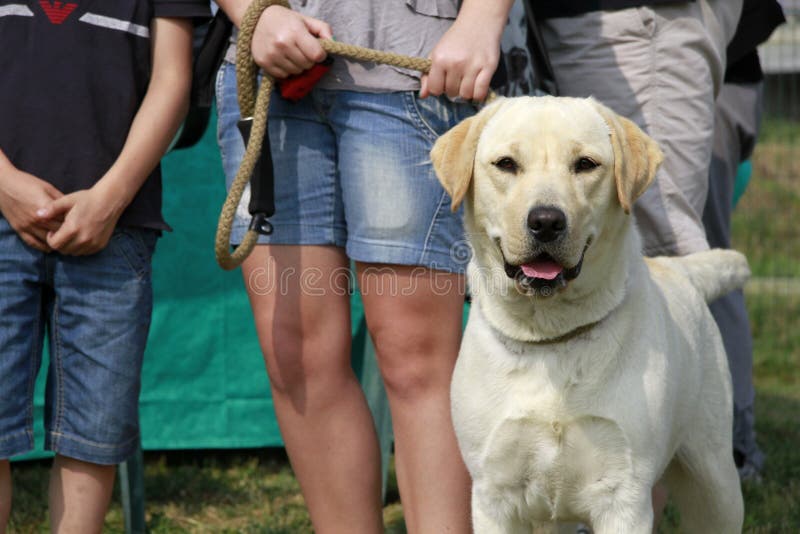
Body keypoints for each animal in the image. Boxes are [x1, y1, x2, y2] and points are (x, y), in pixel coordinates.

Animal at [434, 97, 748, 534]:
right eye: (506, 164)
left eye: (585, 164)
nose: (546, 221)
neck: (550, 338)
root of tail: (679, 269)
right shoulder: (494, 496)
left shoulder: (624, 497)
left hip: (715, 481)